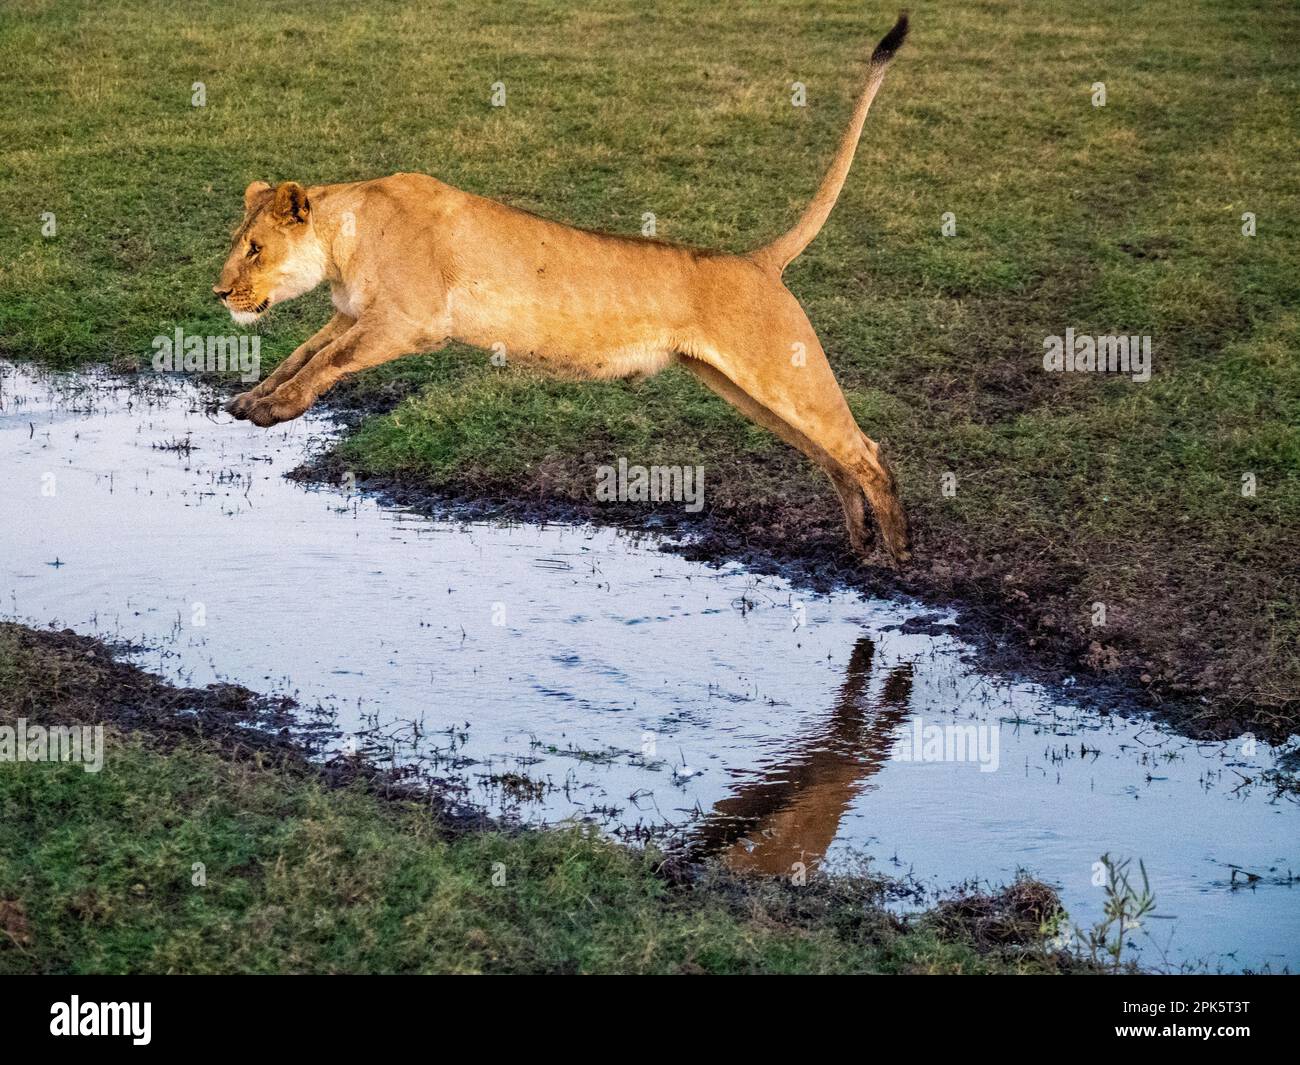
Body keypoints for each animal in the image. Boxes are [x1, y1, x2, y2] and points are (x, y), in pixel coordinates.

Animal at [217, 14, 912, 564]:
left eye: (254, 250)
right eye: (238, 242)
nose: (221, 293)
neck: (346, 238)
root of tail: (758, 262)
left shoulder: (409, 323)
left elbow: (327, 363)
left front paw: (276, 409)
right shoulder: (354, 314)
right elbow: (301, 354)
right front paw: (252, 400)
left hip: (782, 372)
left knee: (865, 449)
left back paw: (899, 549)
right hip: (745, 387)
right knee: (830, 457)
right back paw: (861, 542)